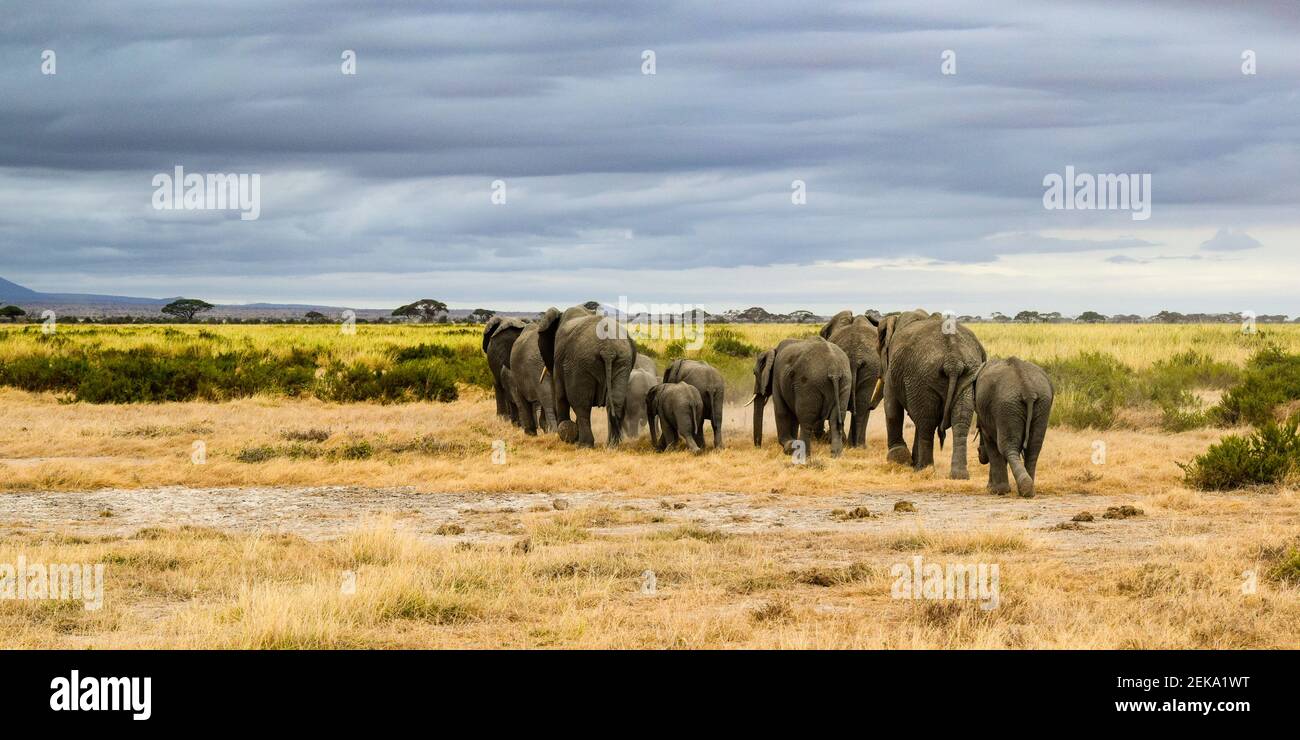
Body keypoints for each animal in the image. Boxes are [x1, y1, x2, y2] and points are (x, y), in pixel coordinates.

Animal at [537, 305, 638, 447]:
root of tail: (608, 349)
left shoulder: (558, 360)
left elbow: (561, 395)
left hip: (580, 363)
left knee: (581, 405)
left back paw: (584, 445)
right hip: (622, 361)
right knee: (615, 402)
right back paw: (612, 445)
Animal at [819, 310, 882, 448]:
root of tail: (854, 357)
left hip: (868, 366)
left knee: (859, 403)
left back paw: (850, 444)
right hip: (870, 366)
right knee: (861, 404)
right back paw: (854, 444)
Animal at [869, 309, 986, 478]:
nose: (870, 407)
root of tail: (953, 361)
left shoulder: (893, 371)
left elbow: (892, 406)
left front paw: (898, 460)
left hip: (921, 375)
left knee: (926, 422)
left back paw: (924, 469)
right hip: (967, 374)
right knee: (960, 419)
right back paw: (959, 476)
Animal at [973, 358, 1054, 497]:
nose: (979, 454)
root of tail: (1027, 390)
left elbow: (992, 443)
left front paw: (995, 491)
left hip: (1006, 406)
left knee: (1007, 446)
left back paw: (1023, 488)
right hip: (1040, 405)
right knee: (1033, 446)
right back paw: (1029, 489)